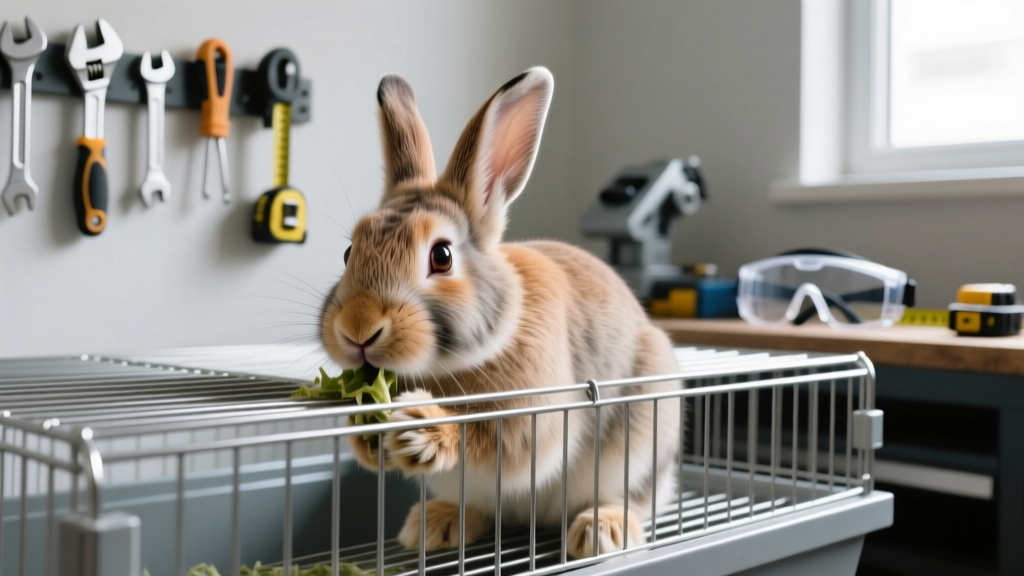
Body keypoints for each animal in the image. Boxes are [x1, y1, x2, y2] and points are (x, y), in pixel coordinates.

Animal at [320, 66, 682, 558]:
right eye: (347, 252)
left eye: (442, 257)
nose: (358, 329)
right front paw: (366, 432)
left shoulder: (537, 416)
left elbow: (489, 438)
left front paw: (419, 429)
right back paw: (434, 525)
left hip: (644, 442)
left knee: (632, 499)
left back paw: (599, 532)